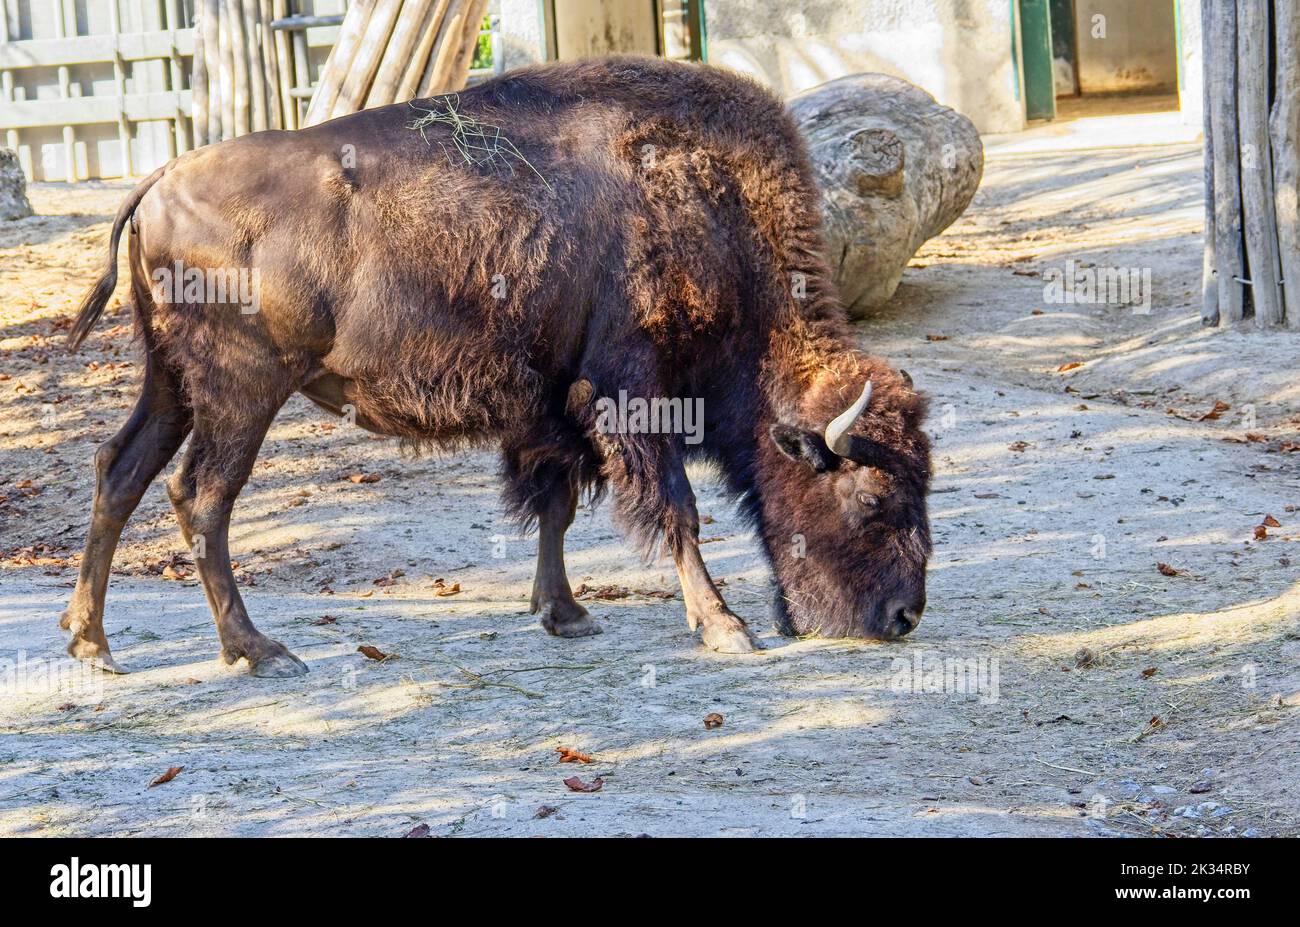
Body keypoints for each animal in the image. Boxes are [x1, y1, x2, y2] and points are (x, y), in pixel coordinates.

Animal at [61, 56, 931, 677]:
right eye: (873, 501)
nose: (903, 617)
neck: (706, 203)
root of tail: (159, 181)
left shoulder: (555, 406)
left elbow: (555, 505)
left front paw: (566, 613)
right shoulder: (632, 393)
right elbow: (674, 506)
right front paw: (725, 627)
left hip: (171, 383)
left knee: (120, 469)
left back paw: (94, 644)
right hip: (242, 392)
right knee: (201, 496)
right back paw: (258, 650)